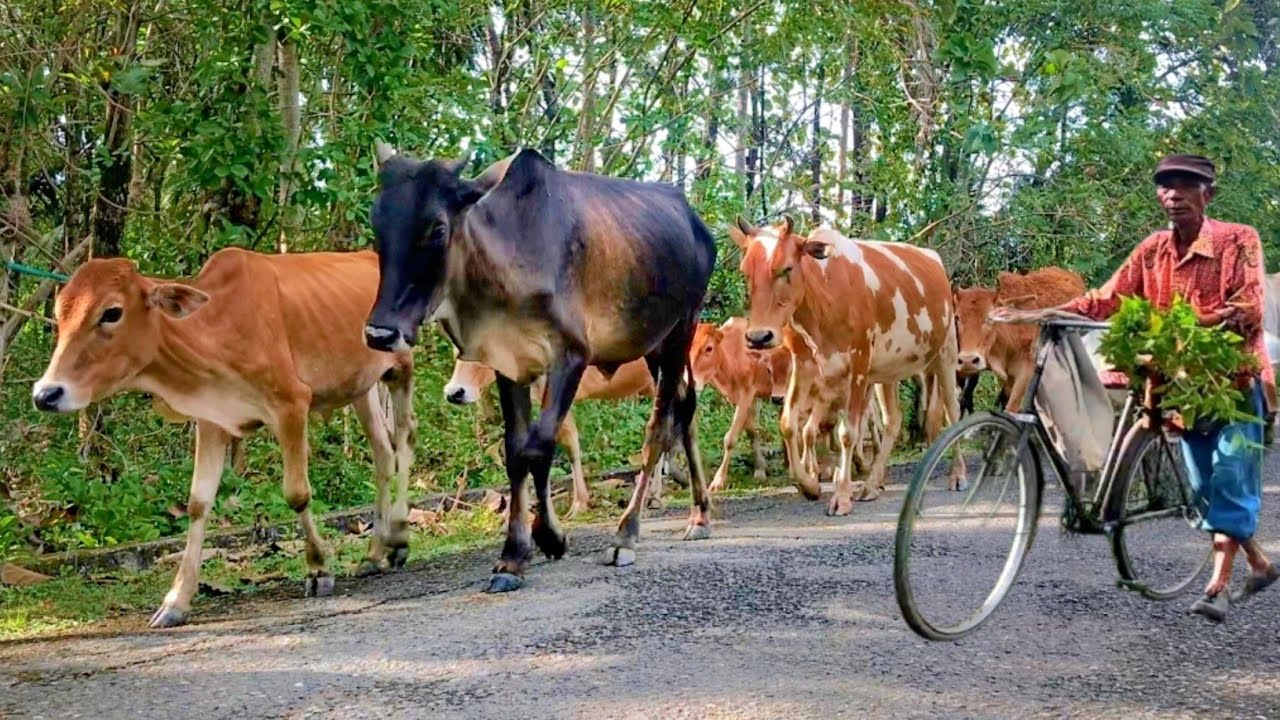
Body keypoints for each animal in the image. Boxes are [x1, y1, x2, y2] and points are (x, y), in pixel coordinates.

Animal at [30, 249, 415, 628]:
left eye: (111, 312)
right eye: (59, 314)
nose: (46, 394)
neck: (217, 329)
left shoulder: (292, 404)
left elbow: (297, 493)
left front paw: (318, 569)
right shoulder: (211, 421)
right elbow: (198, 504)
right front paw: (176, 601)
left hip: (401, 368)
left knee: (404, 441)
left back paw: (397, 536)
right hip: (361, 387)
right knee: (383, 453)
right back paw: (375, 553)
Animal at [689, 319, 790, 491]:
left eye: (709, 348)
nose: (691, 381)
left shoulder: (747, 393)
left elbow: (730, 439)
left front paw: (718, 481)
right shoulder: (739, 397)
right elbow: (752, 431)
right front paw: (760, 469)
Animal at [732, 217, 962, 515]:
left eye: (787, 268)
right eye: (745, 272)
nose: (759, 337)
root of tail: (934, 259)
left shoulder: (859, 364)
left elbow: (848, 433)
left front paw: (841, 496)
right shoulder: (804, 365)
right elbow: (789, 424)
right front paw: (809, 484)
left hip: (945, 351)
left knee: (952, 411)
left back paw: (958, 475)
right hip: (886, 371)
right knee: (893, 420)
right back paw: (871, 485)